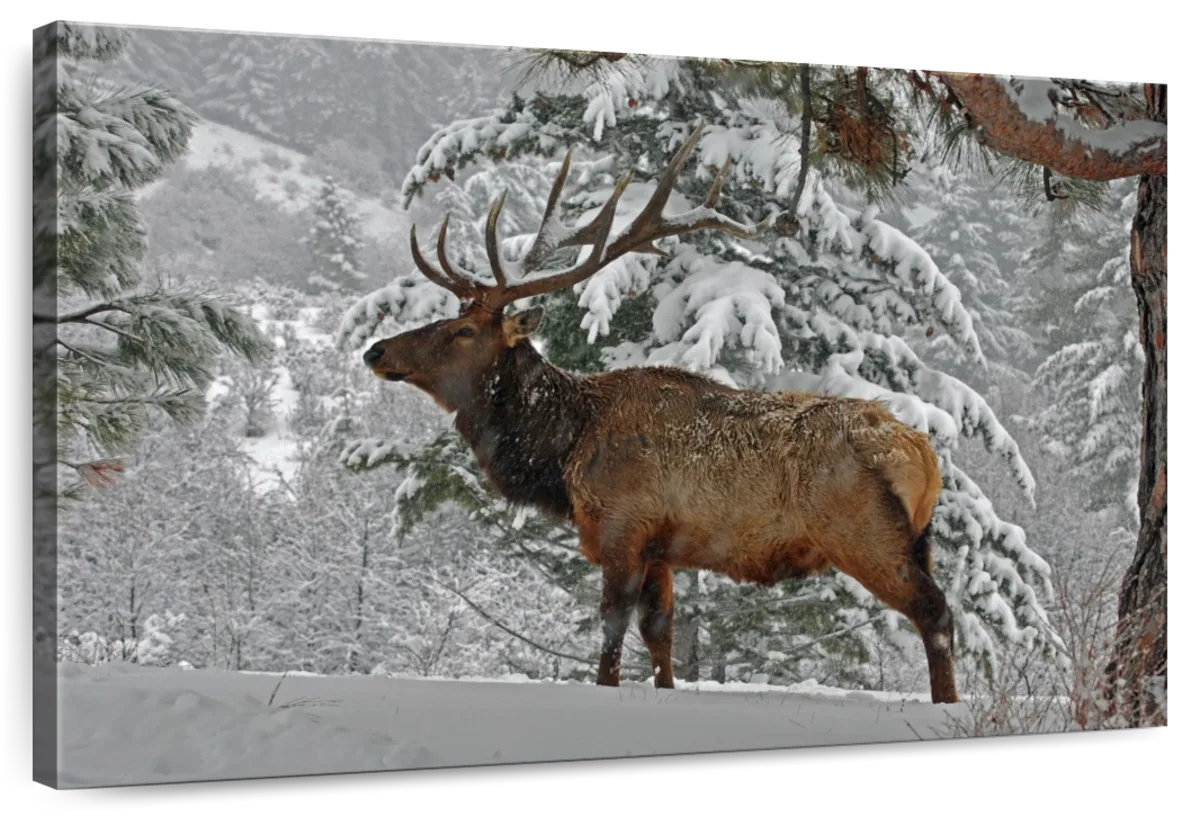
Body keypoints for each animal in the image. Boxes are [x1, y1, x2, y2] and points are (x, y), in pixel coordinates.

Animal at [362, 125, 959, 704]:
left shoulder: (623, 527)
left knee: (936, 613)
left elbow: (611, 632)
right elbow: (659, 635)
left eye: (463, 330)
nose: (377, 351)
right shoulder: (661, 549)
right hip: (915, 540)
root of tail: (924, 457)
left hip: (863, 532)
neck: (563, 453)